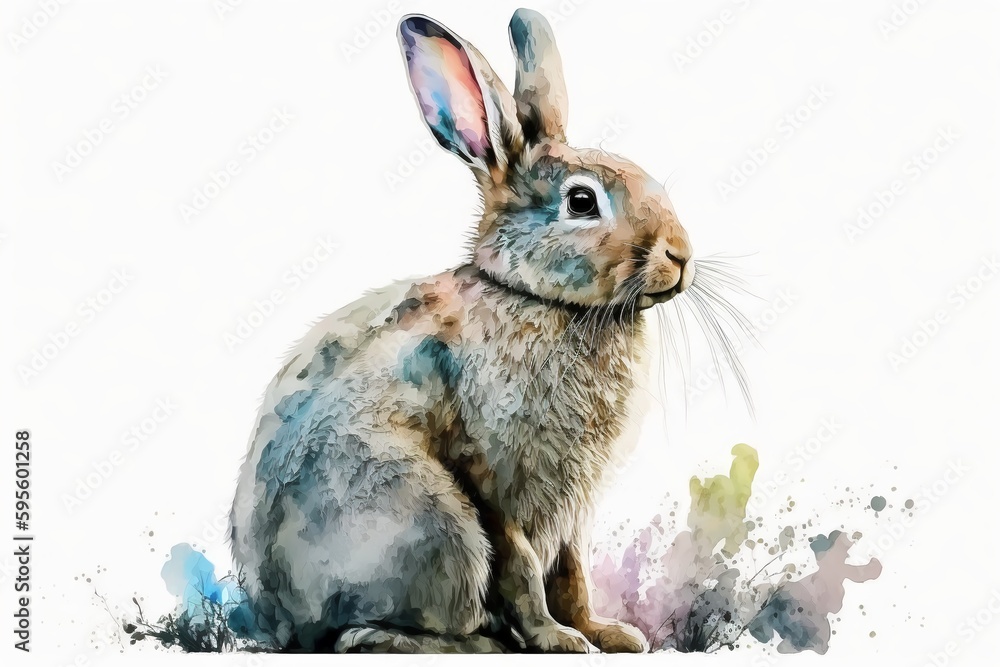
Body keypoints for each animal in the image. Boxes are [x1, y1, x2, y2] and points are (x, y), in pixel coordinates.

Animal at [229, 8, 694, 654]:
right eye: (582, 201)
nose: (681, 256)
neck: (534, 297)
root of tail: (276, 622)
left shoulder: (573, 510)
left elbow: (572, 572)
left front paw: (610, 635)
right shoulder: (497, 484)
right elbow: (525, 569)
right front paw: (559, 641)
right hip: (435, 523)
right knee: (359, 635)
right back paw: (477, 643)